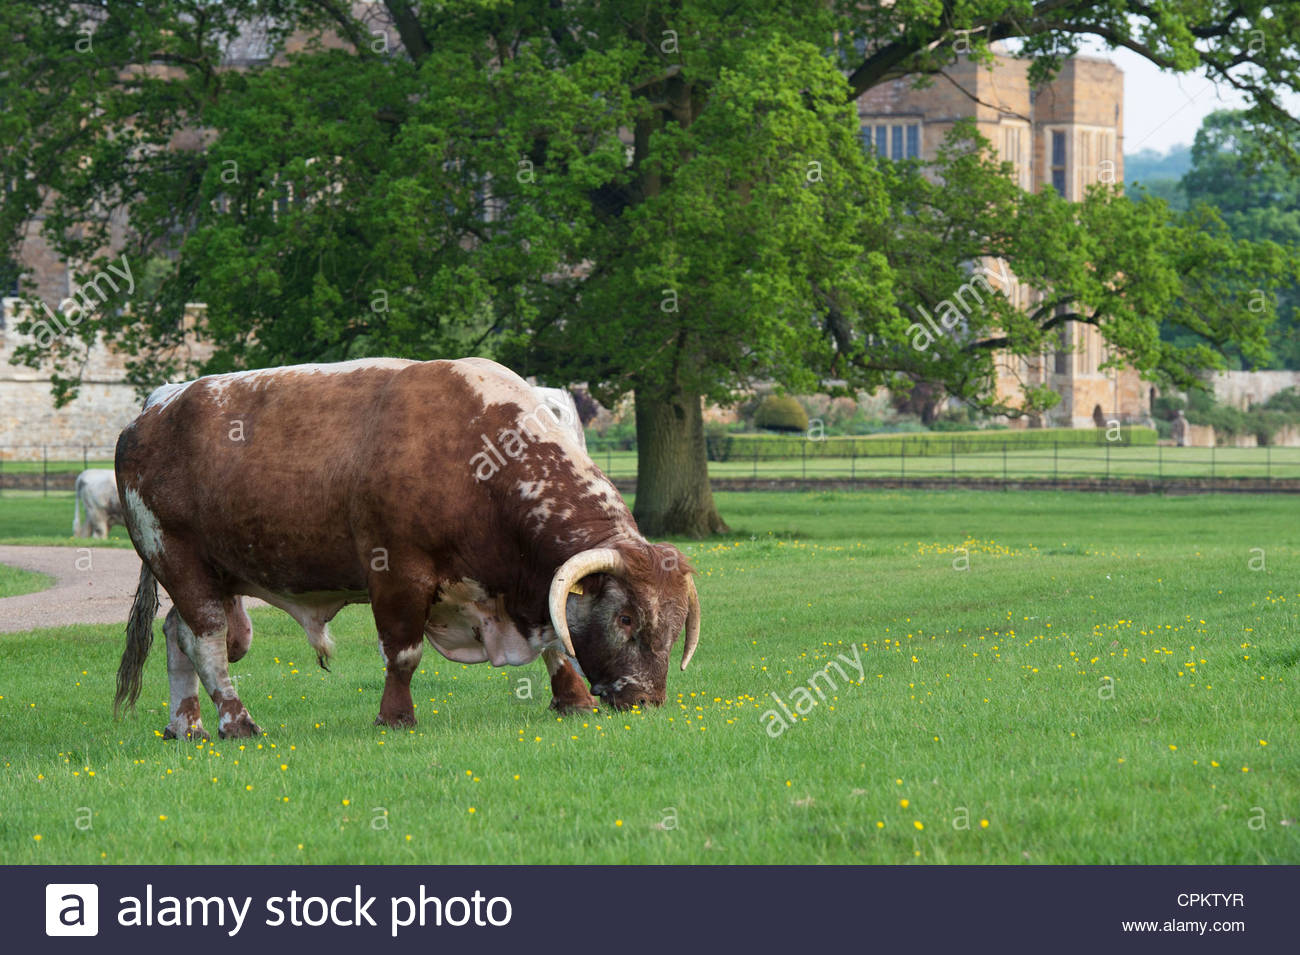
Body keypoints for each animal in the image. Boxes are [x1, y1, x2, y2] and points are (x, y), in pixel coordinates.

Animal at [112, 357, 700, 740]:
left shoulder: (531, 588)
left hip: (214, 576)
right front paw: (395, 717)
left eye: (674, 623)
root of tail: (157, 405)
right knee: (209, 643)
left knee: (181, 634)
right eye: (626, 618)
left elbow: (559, 638)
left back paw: (185, 724)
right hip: (178, 561)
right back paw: (236, 722)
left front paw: (572, 701)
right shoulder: (397, 574)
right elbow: (403, 653)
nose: (646, 698)